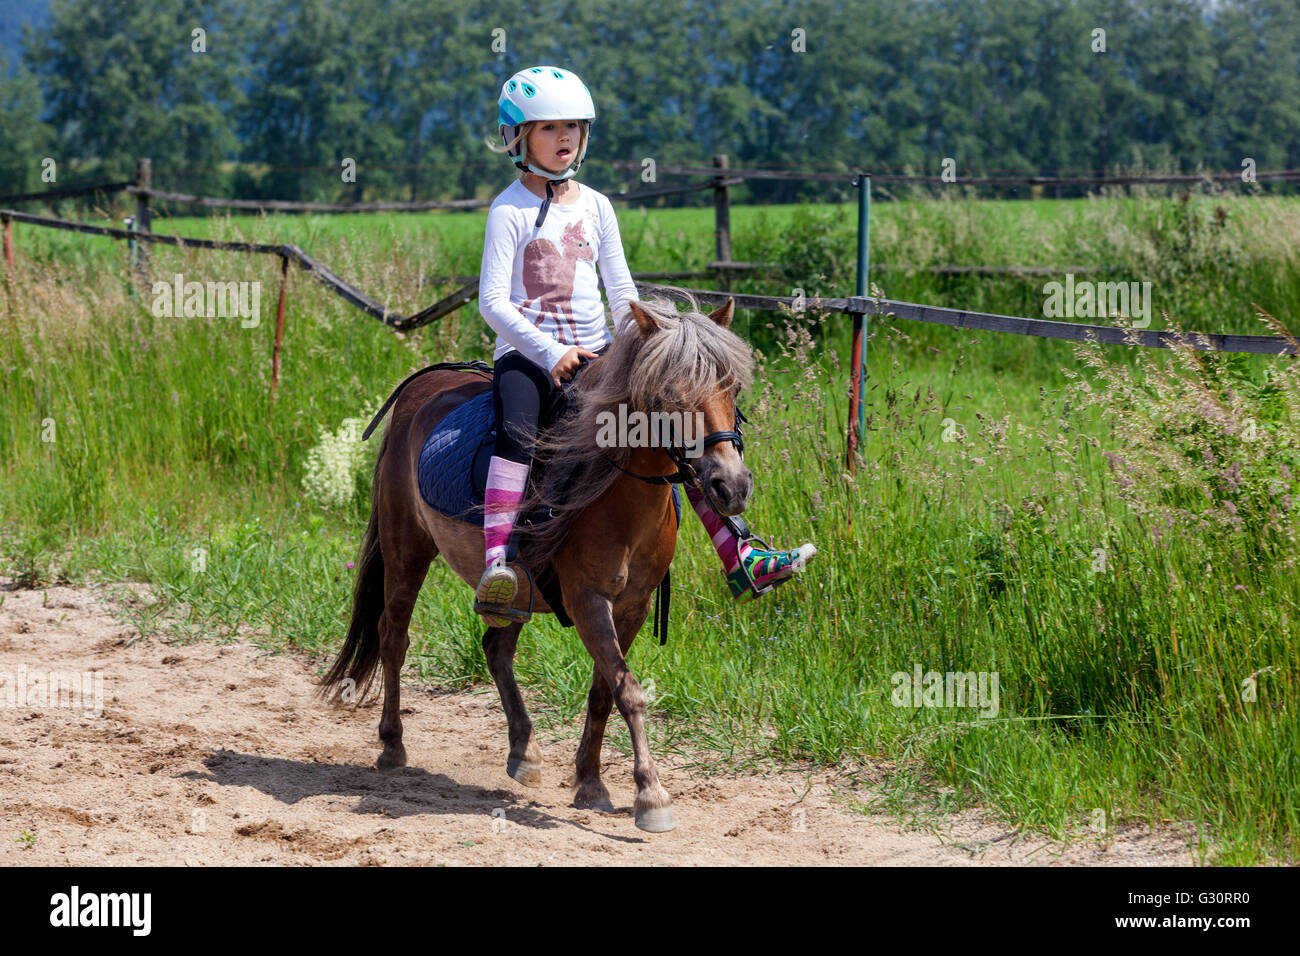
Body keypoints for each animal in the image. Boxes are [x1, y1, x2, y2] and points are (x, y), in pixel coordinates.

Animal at [317, 294, 755, 832]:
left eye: (732, 386)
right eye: (670, 394)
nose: (730, 487)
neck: (615, 492)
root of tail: (422, 389)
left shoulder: (633, 605)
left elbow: (604, 689)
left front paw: (590, 783)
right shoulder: (588, 598)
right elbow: (628, 690)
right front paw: (651, 797)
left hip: (514, 591)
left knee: (495, 648)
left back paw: (523, 751)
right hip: (407, 550)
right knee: (393, 638)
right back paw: (392, 746)